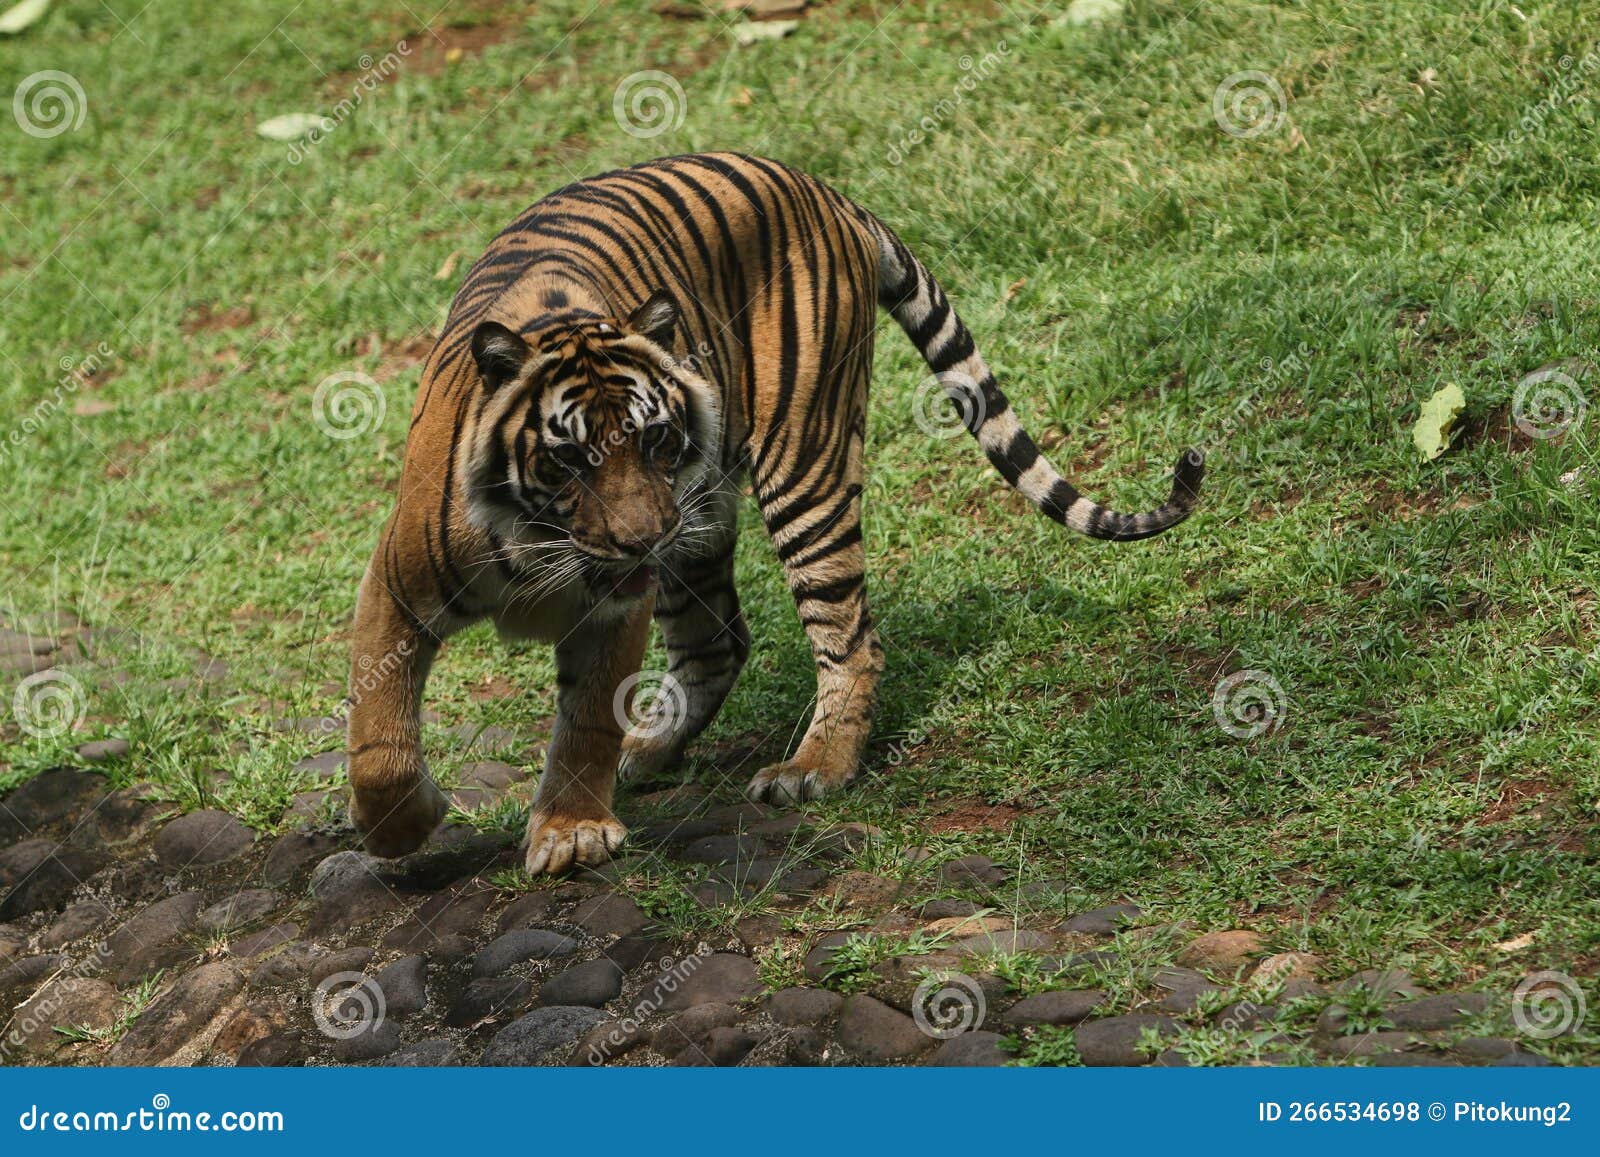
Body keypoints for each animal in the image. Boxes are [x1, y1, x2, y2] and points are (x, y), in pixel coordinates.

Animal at [347, 152, 1203, 875]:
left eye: (655, 440)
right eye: (570, 460)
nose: (642, 539)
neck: (546, 544)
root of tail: (822, 188)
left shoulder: (616, 602)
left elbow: (586, 715)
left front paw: (571, 829)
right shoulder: (397, 583)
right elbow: (378, 733)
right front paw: (401, 826)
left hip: (801, 467)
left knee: (849, 637)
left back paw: (811, 768)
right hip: (702, 523)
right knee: (717, 641)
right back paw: (648, 749)